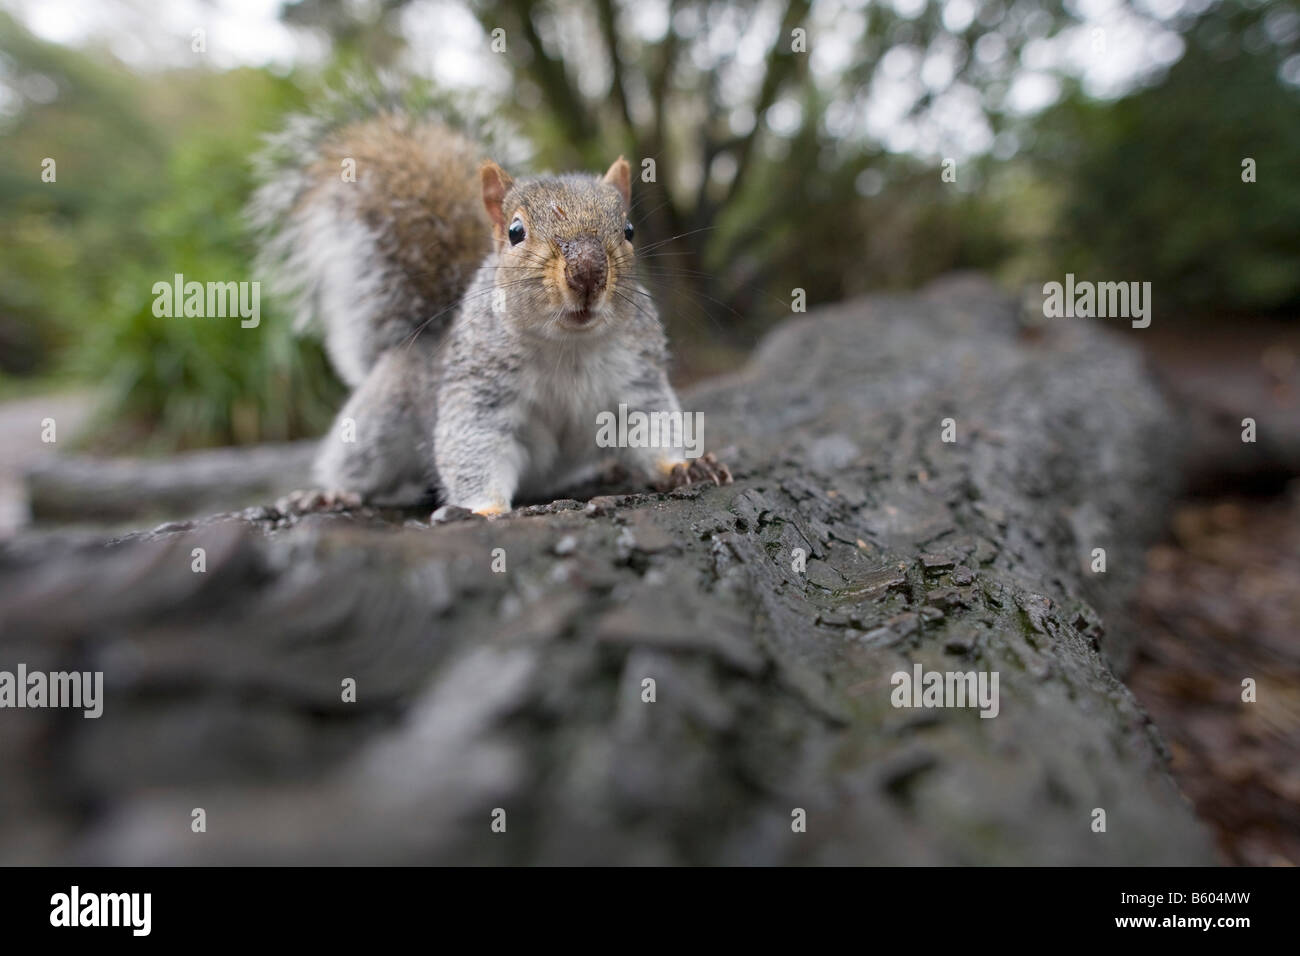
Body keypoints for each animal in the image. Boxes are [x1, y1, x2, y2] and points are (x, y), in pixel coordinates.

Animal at [251, 101, 731, 517]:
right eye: (516, 231)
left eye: (629, 230)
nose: (588, 273)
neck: (568, 347)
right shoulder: (478, 392)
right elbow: (473, 446)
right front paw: (483, 510)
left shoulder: (637, 380)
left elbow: (653, 428)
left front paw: (685, 466)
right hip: (381, 419)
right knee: (356, 463)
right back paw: (330, 494)